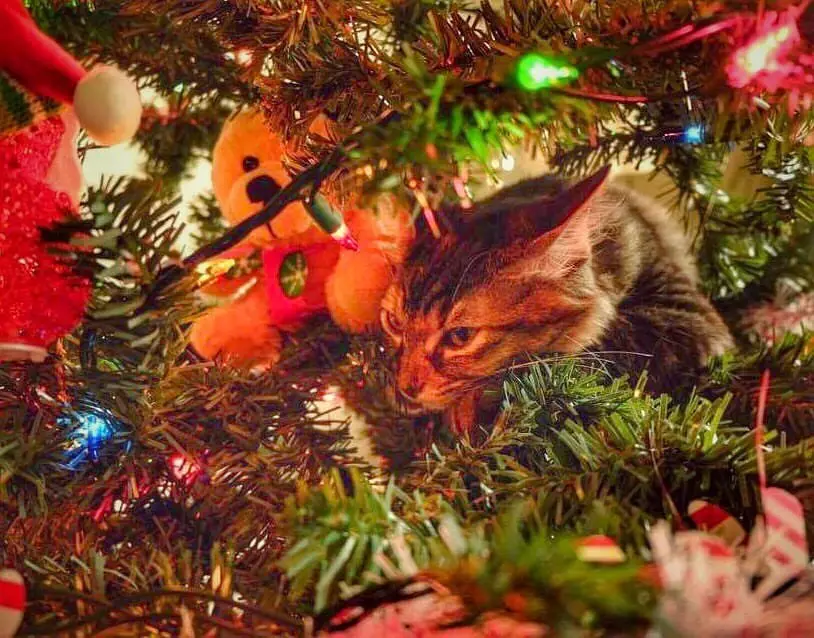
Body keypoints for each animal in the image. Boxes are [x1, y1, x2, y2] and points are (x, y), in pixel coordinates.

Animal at [380, 168, 736, 432]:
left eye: (460, 337)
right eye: (394, 323)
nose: (406, 388)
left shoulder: (686, 317)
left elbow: (559, 360)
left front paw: (473, 404)